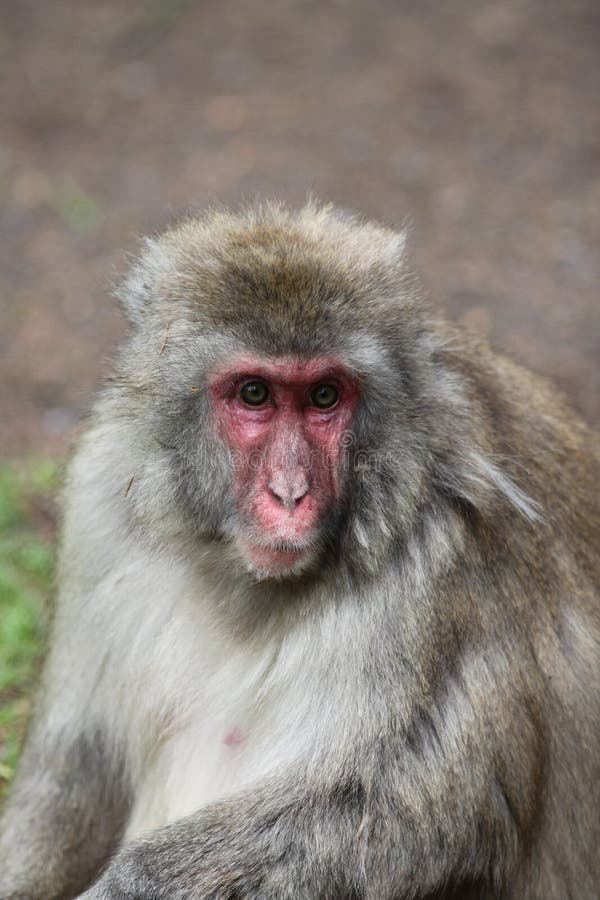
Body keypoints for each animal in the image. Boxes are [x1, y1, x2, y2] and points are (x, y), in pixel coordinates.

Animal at [0, 201, 598, 900]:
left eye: (325, 396)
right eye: (255, 394)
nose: (291, 493)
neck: (238, 574)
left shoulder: (447, 557)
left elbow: (419, 816)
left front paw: (129, 884)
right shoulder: (102, 504)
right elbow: (79, 770)